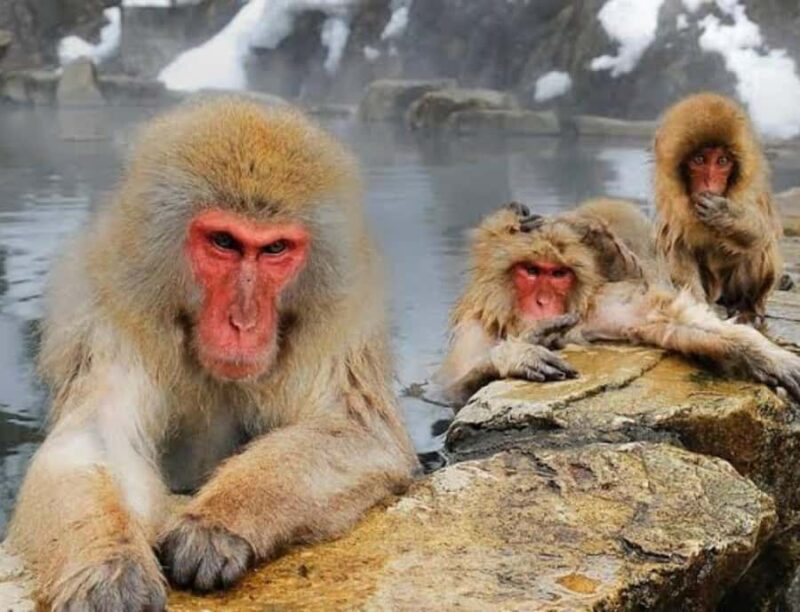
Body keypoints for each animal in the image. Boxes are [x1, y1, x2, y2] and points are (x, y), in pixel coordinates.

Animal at [6, 99, 418, 611]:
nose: (242, 323)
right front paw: (109, 566)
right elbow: (92, 438)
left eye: (274, 248)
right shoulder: (110, 311)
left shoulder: (342, 319)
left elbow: (359, 430)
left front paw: (217, 523)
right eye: (224, 242)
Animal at [436, 198, 800, 406]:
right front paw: (519, 352)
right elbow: (449, 392)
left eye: (558, 274)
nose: (542, 301)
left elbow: (666, 320)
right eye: (531, 271)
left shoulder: (593, 309)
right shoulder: (474, 328)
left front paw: (765, 355)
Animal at [654, 92, 783, 326]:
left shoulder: (753, 193)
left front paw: (726, 214)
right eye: (699, 160)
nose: (709, 182)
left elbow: (764, 232)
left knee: (755, 248)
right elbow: (678, 246)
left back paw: (745, 308)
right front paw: (696, 309)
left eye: (722, 161)